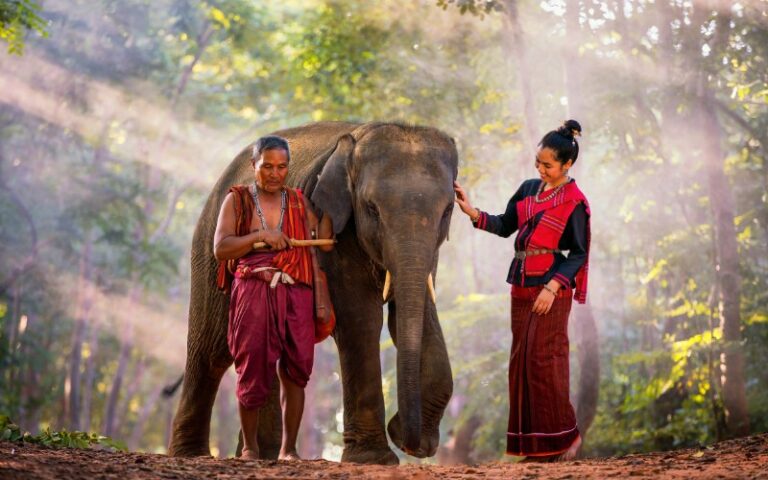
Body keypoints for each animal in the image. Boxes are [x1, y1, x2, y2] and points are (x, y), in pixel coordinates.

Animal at [167, 121, 458, 464]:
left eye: (447, 211)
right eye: (371, 209)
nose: (408, 438)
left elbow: (413, 314)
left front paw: (410, 439)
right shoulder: (337, 232)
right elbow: (362, 320)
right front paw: (374, 458)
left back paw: (263, 455)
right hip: (210, 246)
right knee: (210, 351)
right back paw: (192, 456)